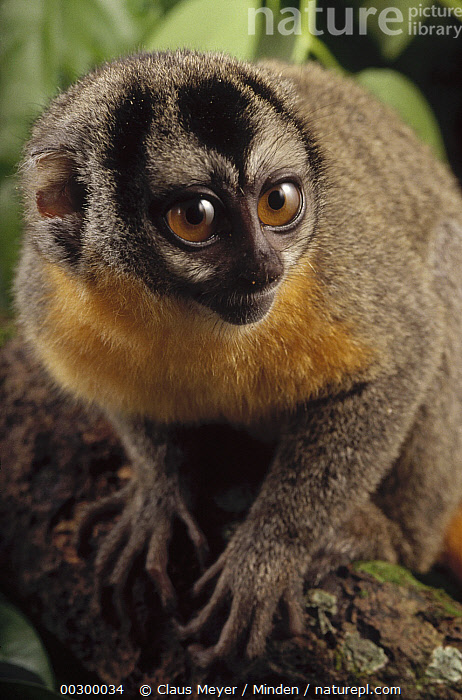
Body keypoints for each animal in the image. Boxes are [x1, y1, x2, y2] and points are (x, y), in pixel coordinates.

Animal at [14, 49, 462, 666]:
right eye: (195, 216)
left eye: (278, 202)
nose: (264, 266)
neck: (180, 308)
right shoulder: (51, 297)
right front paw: (159, 494)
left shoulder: (337, 262)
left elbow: (411, 346)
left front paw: (268, 555)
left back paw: (395, 537)